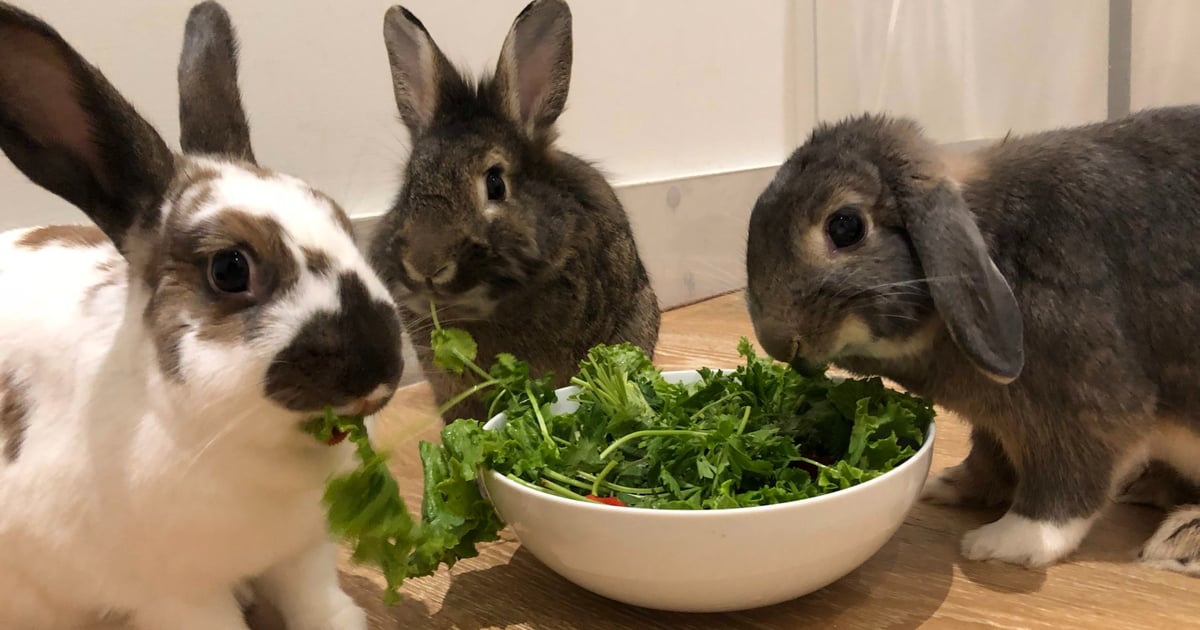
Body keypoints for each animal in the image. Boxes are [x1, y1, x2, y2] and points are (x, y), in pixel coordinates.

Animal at [0, 2, 402, 628]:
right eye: (230, 269)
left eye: (340, 219)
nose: (378, 367)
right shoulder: (176, 594)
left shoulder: (302, 552)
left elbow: (319, 601)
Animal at [744, 108, 1200, 574]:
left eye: (845, 225)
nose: (777, 342)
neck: (997, 243)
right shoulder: (998, 424)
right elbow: (989, 459)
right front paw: (948, 485)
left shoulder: (1084, 409)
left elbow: (1064, 489)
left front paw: (1001, 543)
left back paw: (1177, 541)